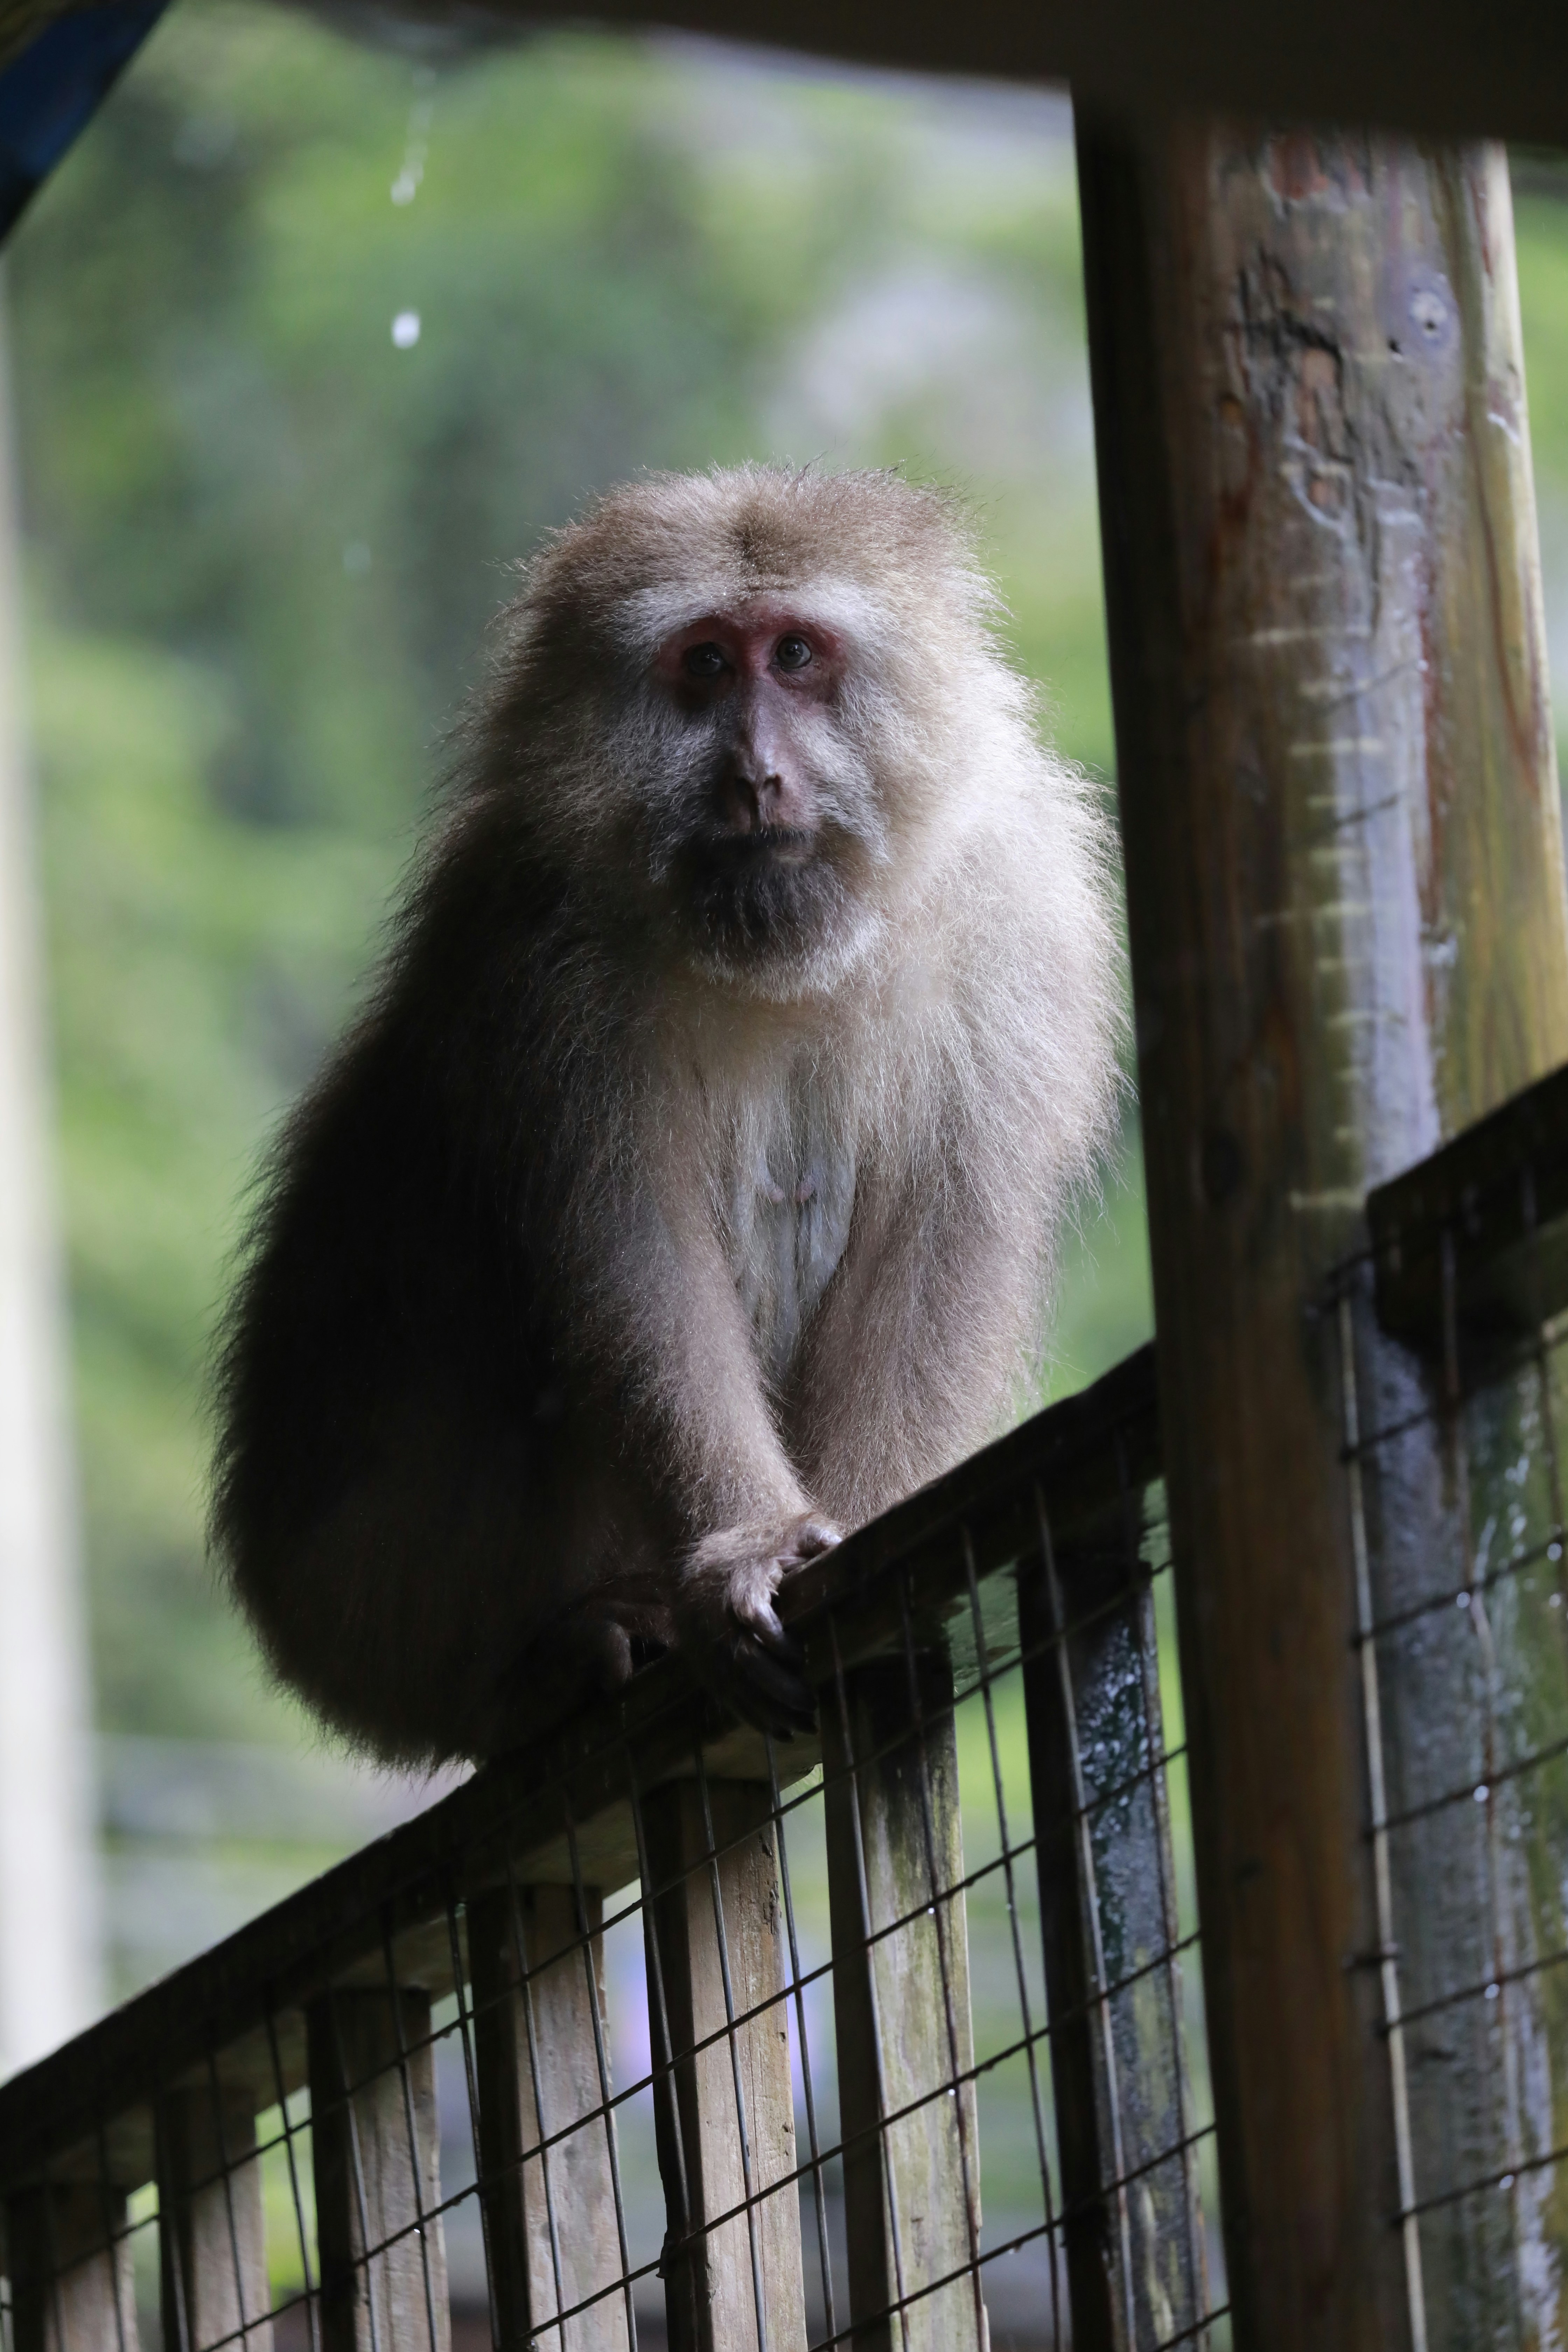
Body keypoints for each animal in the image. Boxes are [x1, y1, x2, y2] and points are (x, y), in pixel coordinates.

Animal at [212, 465, 1121, 1766]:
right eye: (703, 664)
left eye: (794, 655)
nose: (754, 776)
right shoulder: (530, 938)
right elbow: (631, 1253)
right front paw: (746, 1546)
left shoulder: (1020, 920)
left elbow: (943, 1242)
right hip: (379, 1602)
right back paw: (557, 1660)